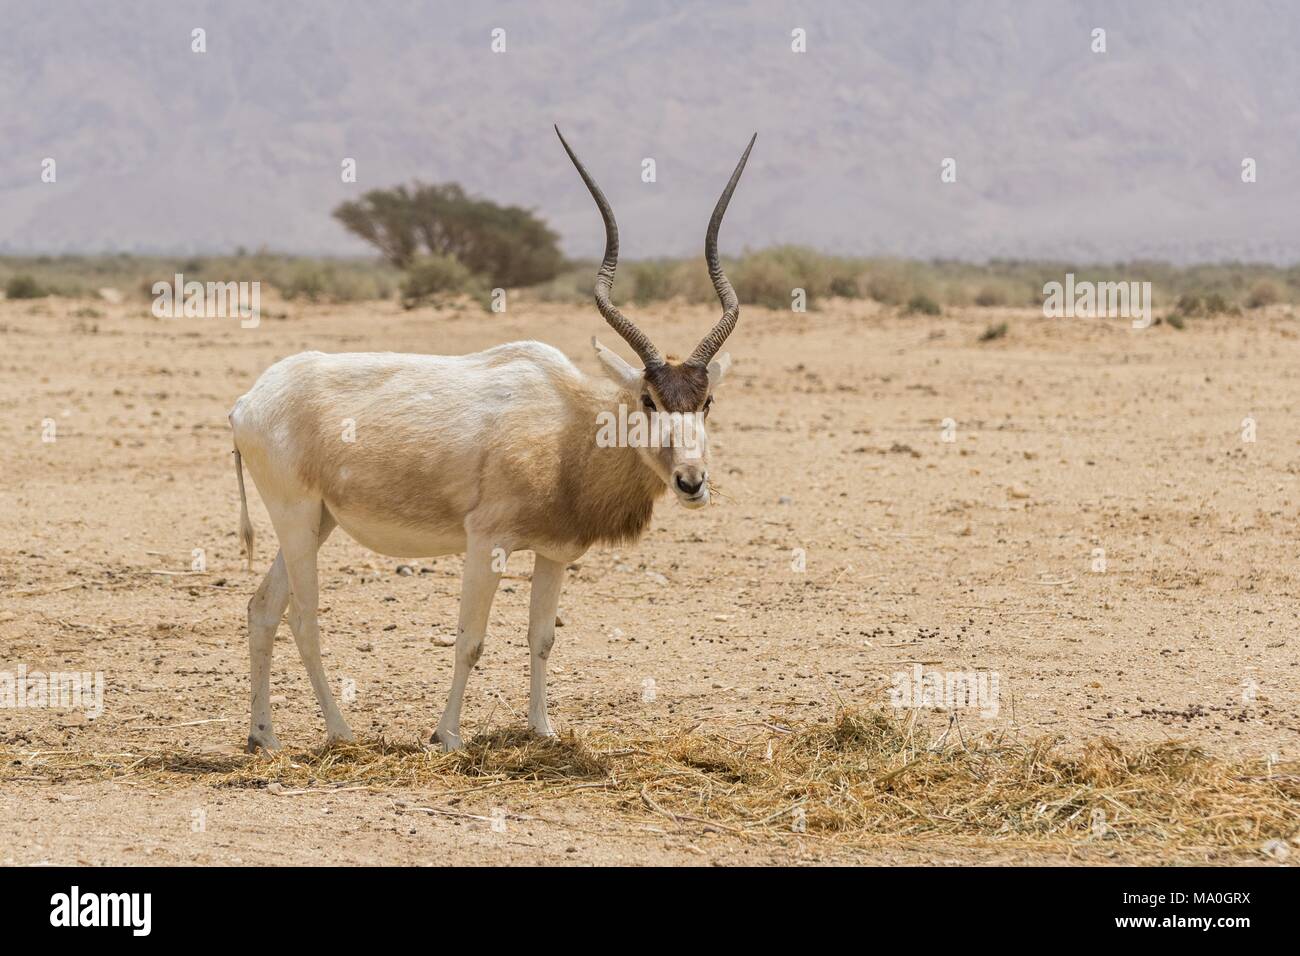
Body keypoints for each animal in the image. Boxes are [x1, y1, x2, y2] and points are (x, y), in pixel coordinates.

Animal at [228, 127, 755, 752]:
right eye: (649, 400)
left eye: (707, 402)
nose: (692, 482)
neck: (569, 426)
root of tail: (248, 403)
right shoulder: (487, 544)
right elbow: (470, 640)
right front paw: (448, 736)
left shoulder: (553, 553)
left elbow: (542, 637)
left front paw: (543, 729)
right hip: (296, 517)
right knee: (303, 619)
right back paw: (340, 732)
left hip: (317, 522)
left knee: (263, 607)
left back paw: (264, 737)